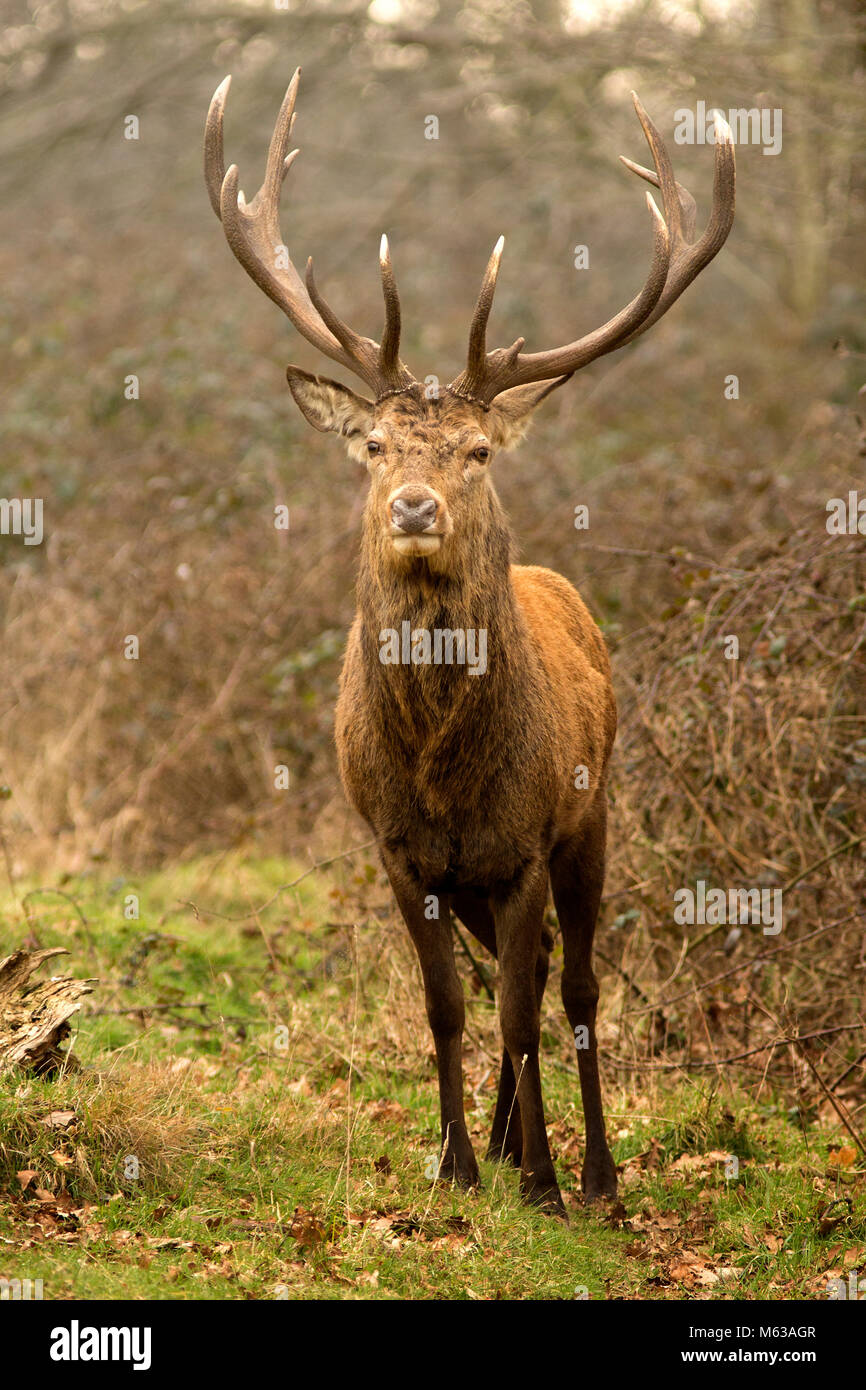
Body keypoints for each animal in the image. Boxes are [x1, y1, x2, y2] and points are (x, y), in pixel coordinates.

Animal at [204, 70, 735, 1217]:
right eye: (373, 443)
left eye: (478, 450)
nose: (414, 506)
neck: (442, 769)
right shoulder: (403, 852)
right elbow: (449, 1008)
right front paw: (451, 1160)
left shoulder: (525, 839)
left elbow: (528, 1008)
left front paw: (543, 1180)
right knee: (512, 983)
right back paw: (496, 1139)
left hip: (593, 816)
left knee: (572, 986)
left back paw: (589, 1169)